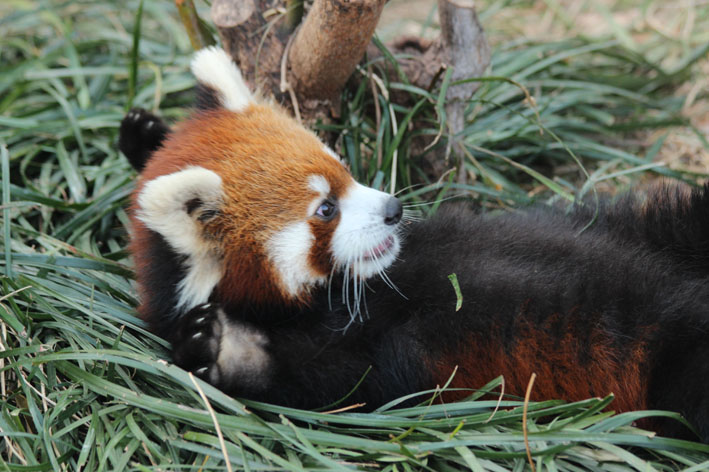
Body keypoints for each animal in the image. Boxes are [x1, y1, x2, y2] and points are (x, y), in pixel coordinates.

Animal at [119, 46, 709, 442]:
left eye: (343, 167)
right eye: (326, 210)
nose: (393, 210)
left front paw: (144, 131)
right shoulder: (394, 357)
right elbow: (345, 386)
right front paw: (222, 347)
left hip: (656, 228)